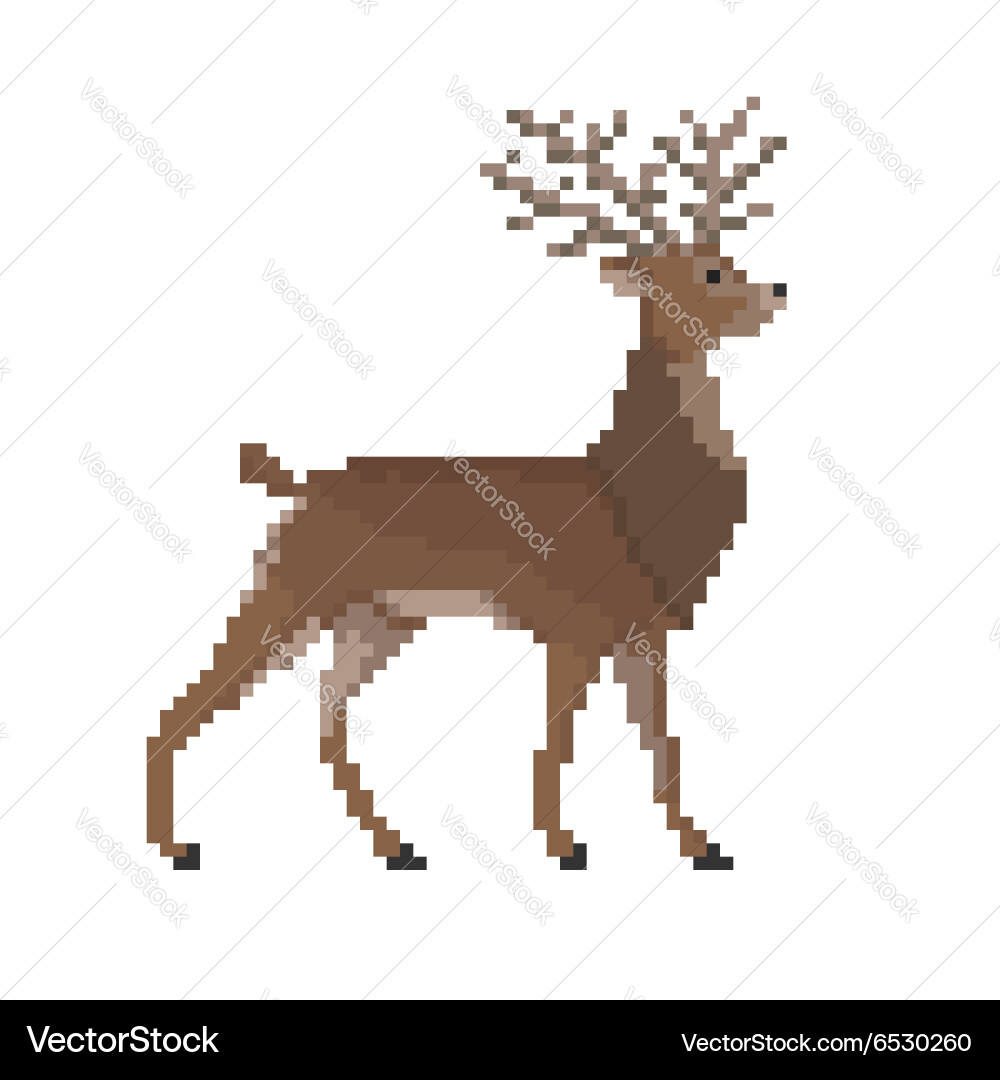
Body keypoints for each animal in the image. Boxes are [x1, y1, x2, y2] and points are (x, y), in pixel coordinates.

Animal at [147, 99, 786, 872]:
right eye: (712, 273)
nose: (778, 292)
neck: (629, 500)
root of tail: (297, 484)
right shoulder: (573, 633)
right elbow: (559, 741)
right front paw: (565, 847)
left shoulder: (646, 637)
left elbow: (663, 743)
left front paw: (703, 847)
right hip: (291, 595)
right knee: (186, 702)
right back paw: (177, 847)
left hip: (381, 619)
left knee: (329, 712)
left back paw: (398, 847)